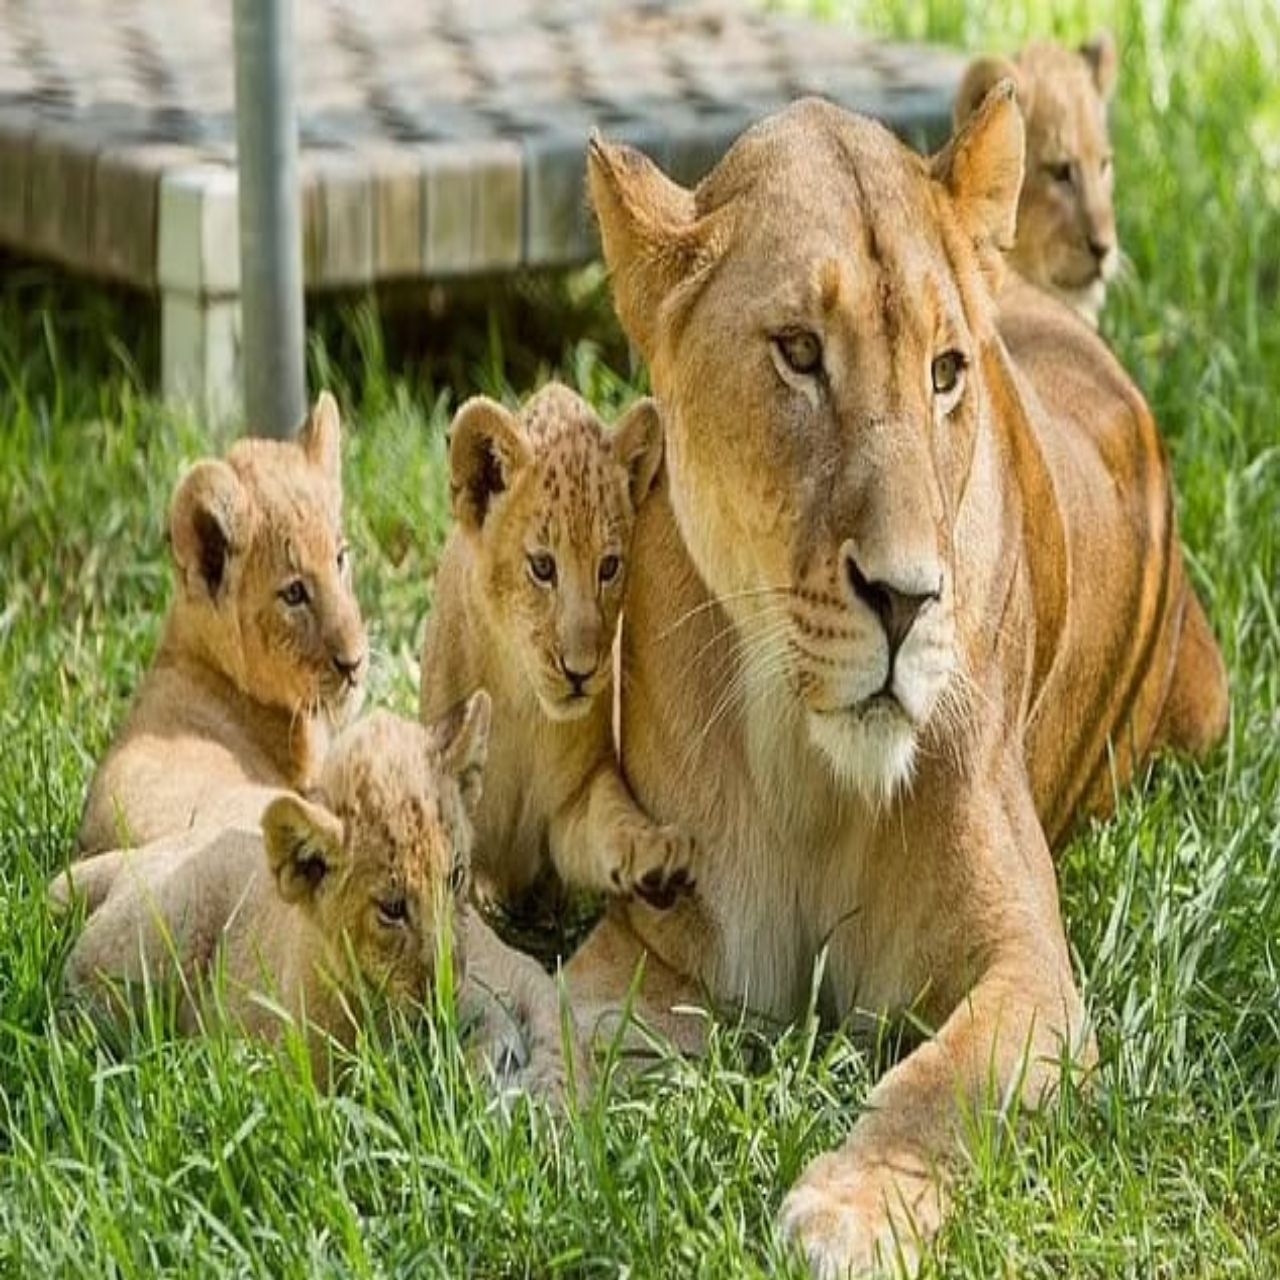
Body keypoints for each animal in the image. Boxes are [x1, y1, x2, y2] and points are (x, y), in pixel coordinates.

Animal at [419, 382, 693, 911]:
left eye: (610, 566)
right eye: (543, 567)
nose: (580, 672)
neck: (522, 701)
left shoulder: (572, 803)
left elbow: (609, 813)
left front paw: (653, 850)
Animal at [566, 89, 1227, 1276]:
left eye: (945, 370)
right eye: (797, 353)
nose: (905, 598)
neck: (808, 775)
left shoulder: (1033, 970)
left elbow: (946, 1084)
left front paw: (852, 1208)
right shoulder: (660, 940)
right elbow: (560, 1039)